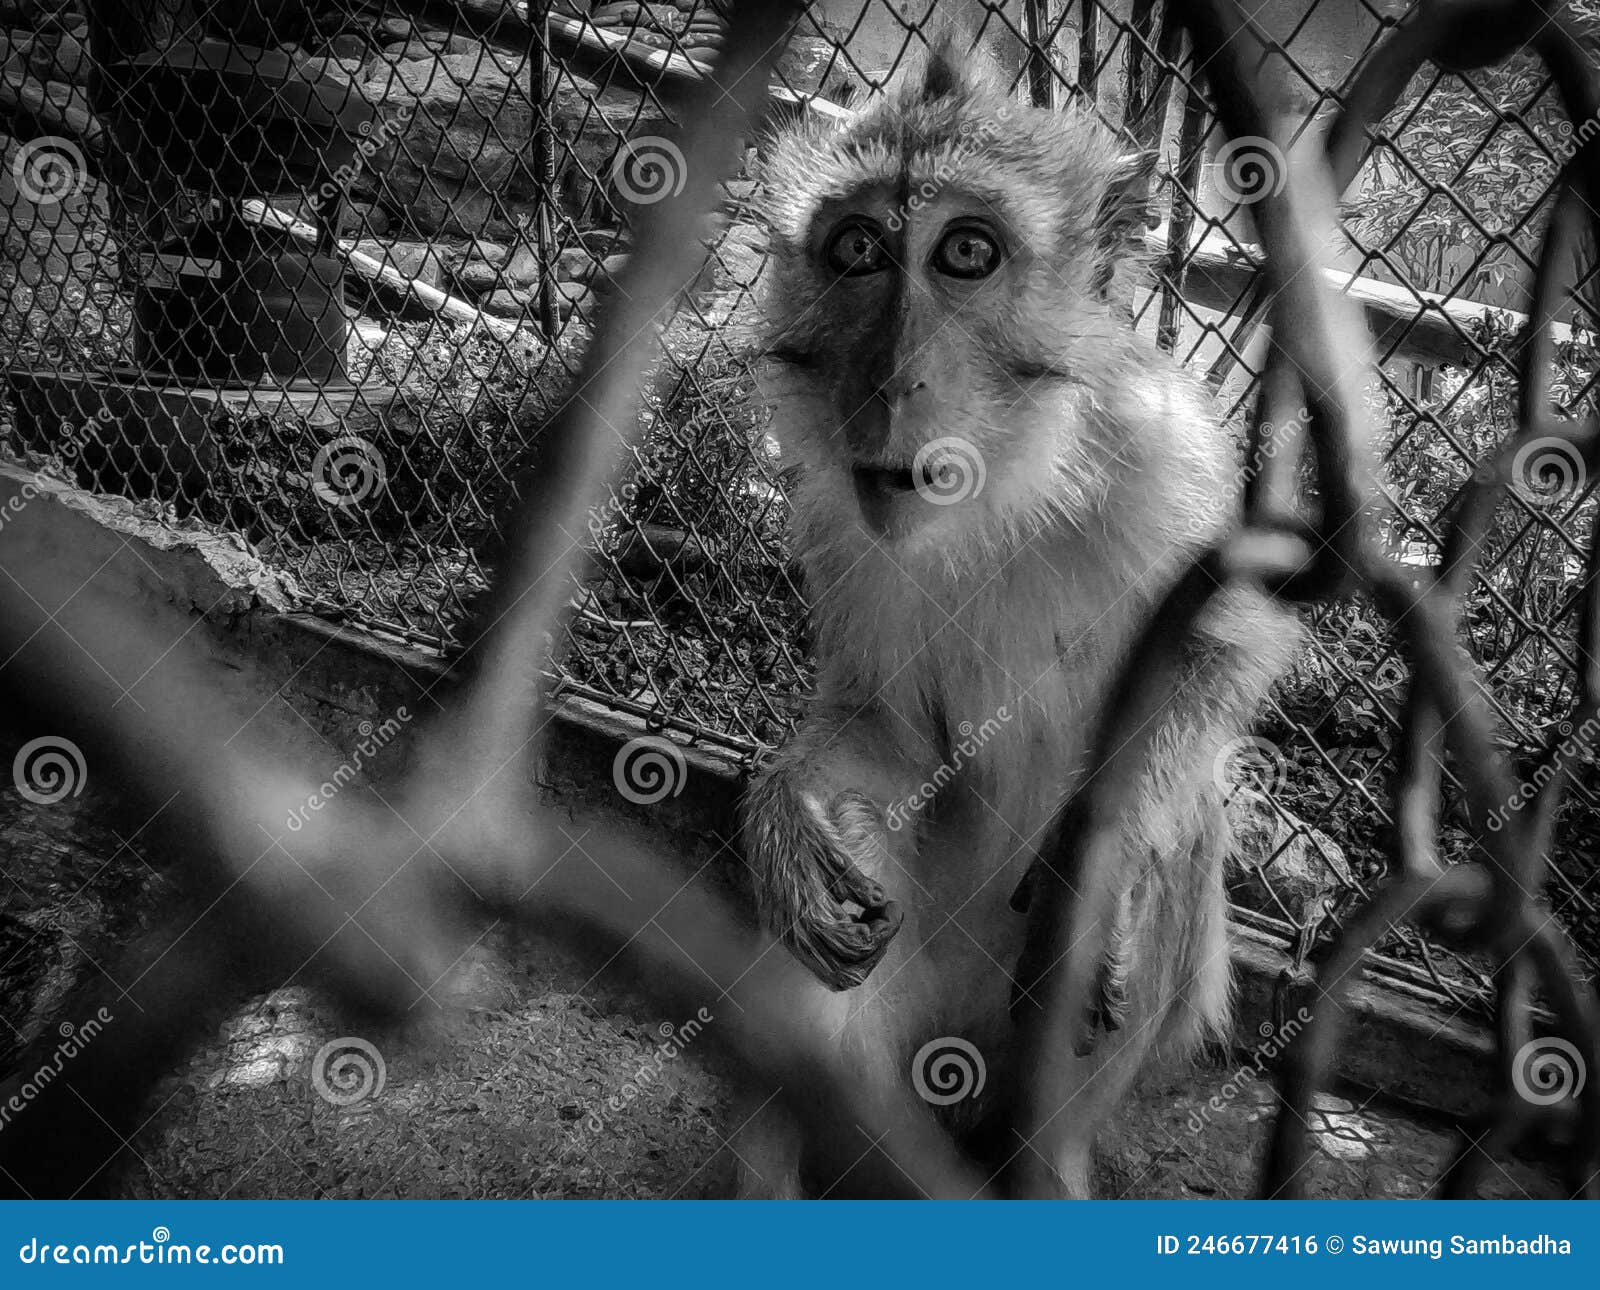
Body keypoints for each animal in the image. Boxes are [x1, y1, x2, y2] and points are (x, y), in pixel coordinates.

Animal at [734, 37, 1302, 1198]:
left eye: (966, 253)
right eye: (857, 248)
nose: (891, 381)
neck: (1000, 488)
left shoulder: (1166, 451)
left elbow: (1223, 657)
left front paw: (1113, 854)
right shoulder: (833, 512)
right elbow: (882, 729)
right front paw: (783, 820)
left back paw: (1048, 1161)